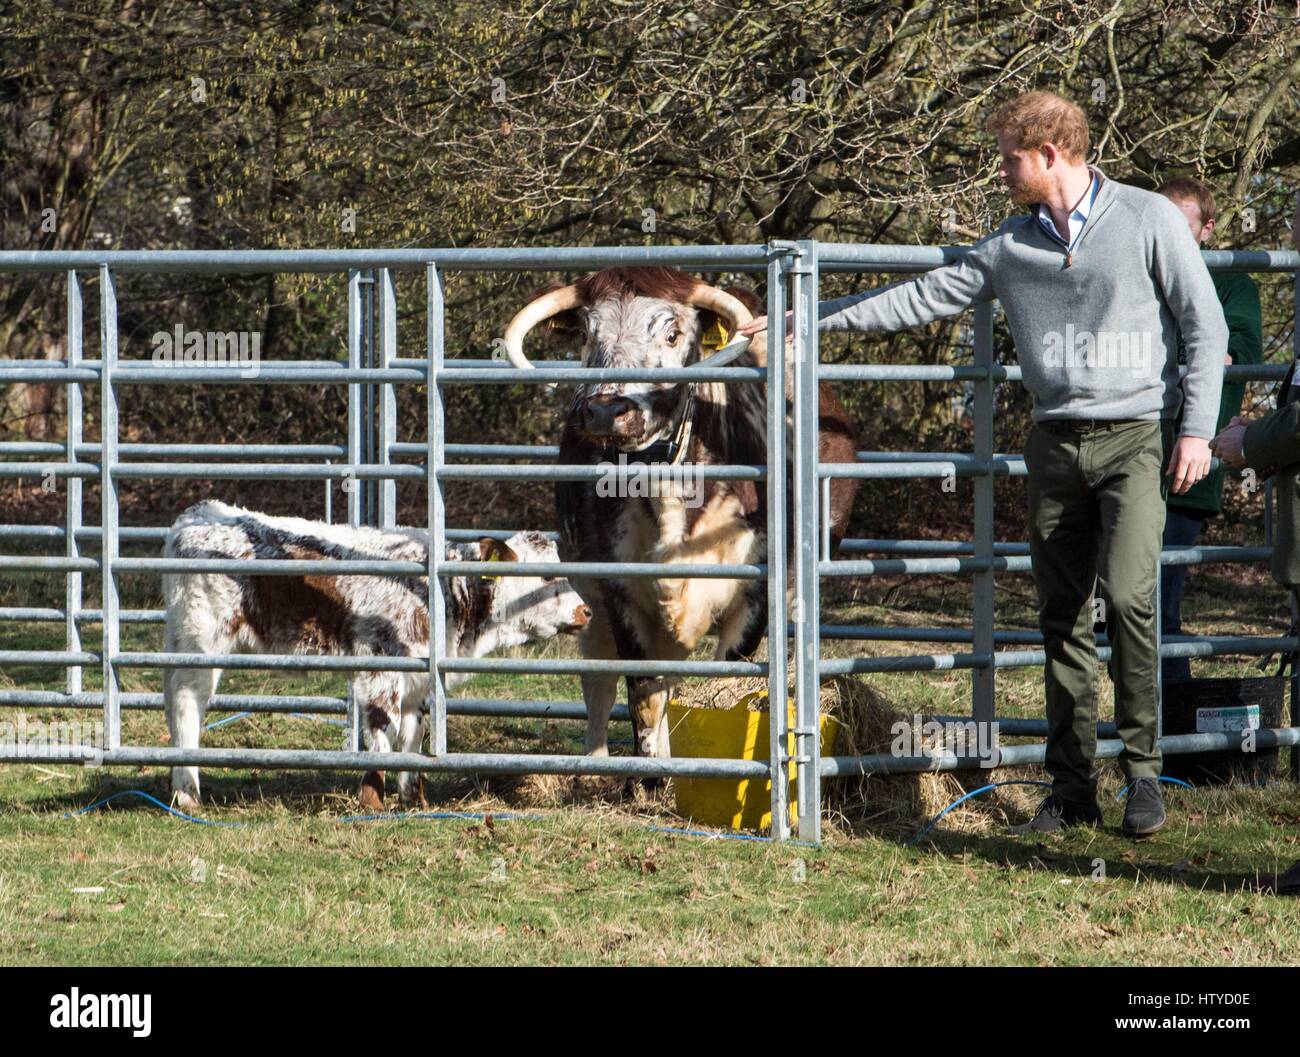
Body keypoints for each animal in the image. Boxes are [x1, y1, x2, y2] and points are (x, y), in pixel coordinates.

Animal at [161, 500, 589, 812]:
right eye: (545, 577)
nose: (586, 611)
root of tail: (198, 514)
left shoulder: (419, 678)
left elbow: (413, 736)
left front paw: (414, 799)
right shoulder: (379, 668)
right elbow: (383, 732)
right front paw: (373, 803)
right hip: (202, 642)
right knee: (186, 705)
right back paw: (188, 793)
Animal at [501, 266, 859, 775]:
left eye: (672, 335)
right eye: (588, 335)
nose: (606, 409)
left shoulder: (756, 598)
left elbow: (724, 682)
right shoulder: (619, 592)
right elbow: (645, 696)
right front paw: (647, 778)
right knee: (600, 682)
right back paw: (595, 765)